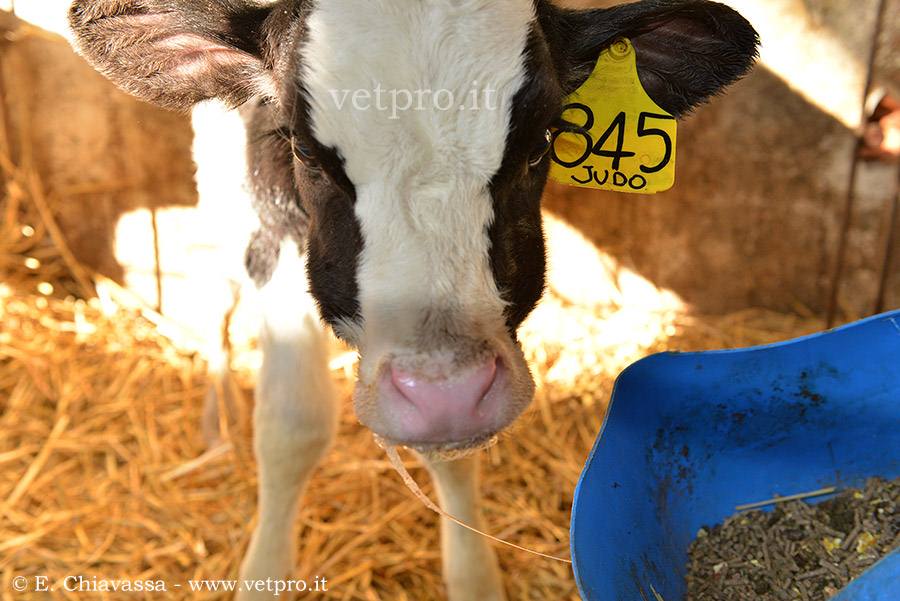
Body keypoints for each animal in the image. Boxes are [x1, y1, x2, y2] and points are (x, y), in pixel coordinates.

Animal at [67, 1, 758, 598]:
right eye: (302, 149)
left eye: (542, 141)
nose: (444, 394)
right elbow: (294, 425)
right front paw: (263, 574)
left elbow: (452, 459)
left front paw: (475, 580)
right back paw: (215, 426)